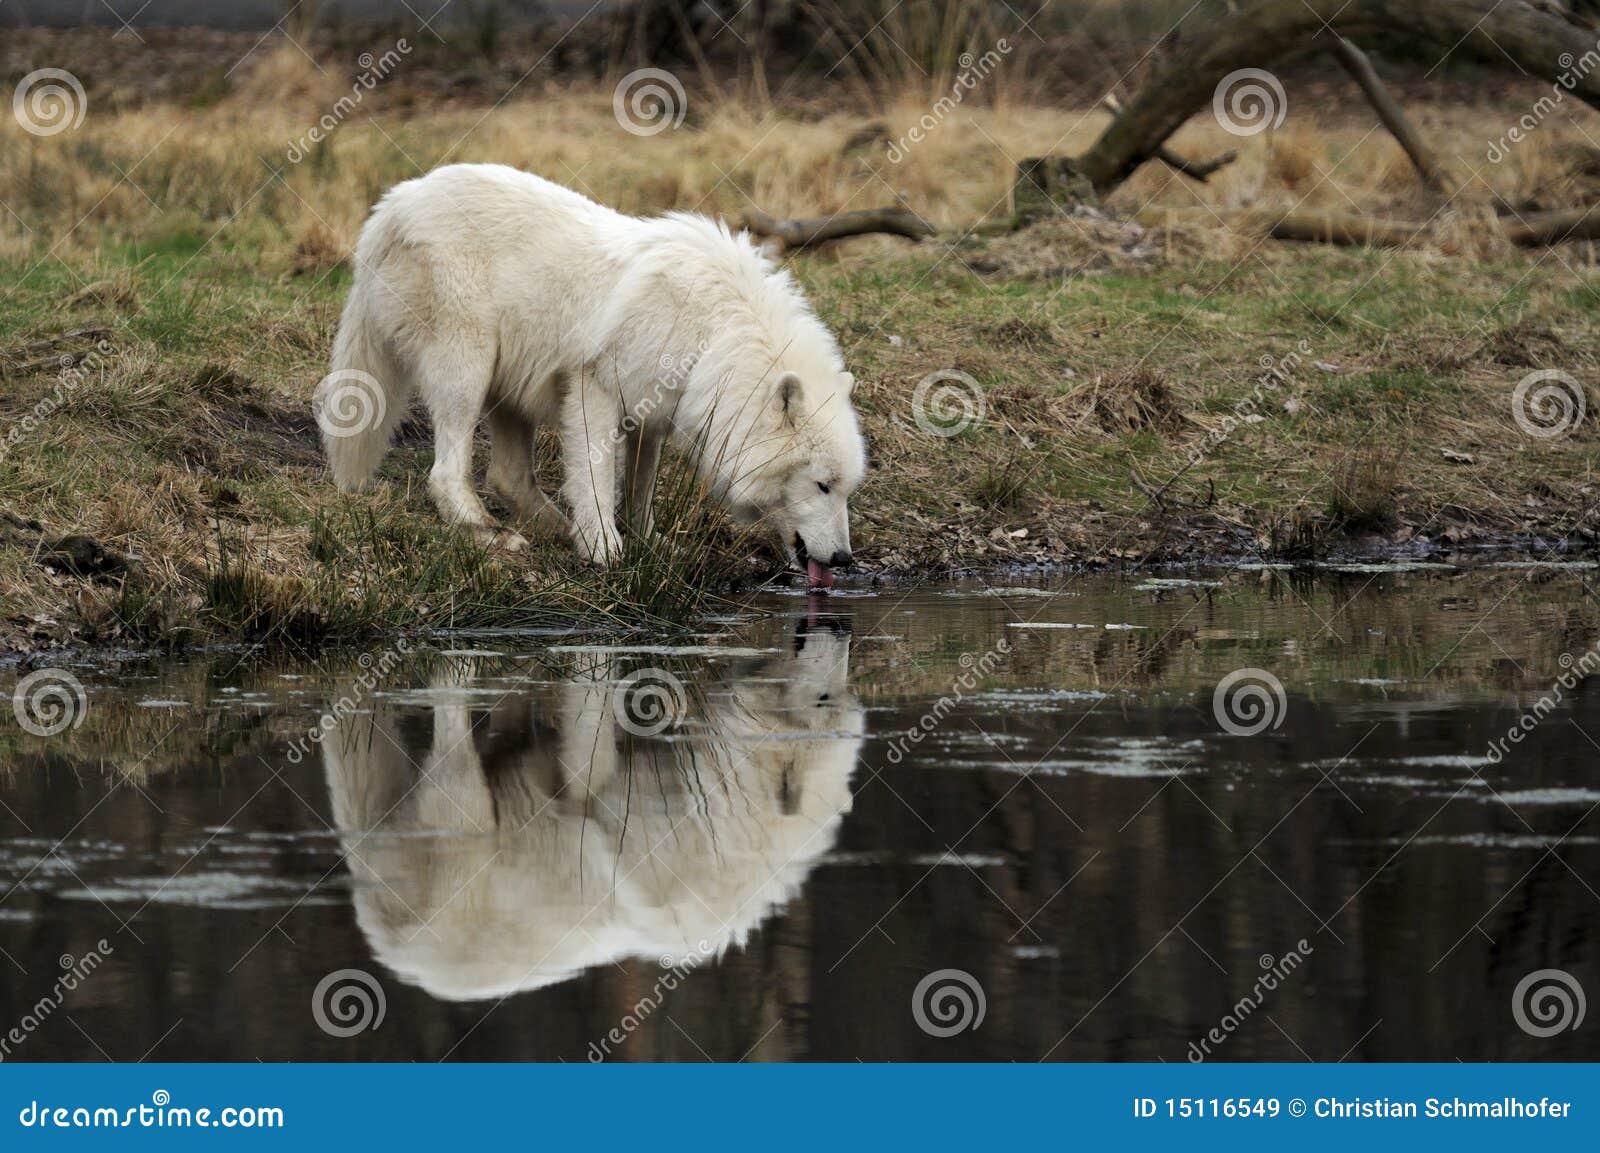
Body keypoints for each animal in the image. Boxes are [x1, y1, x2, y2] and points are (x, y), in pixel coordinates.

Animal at [315, 163, 865, 587]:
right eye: (821, 485)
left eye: (845, 489)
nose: (843, 558)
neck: (714, 329)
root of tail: (393, 202)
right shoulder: (594, 386)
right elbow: (597, 477)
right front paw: (603, 548)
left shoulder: (654, 411)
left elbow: (641, 489)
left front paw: (647, 543)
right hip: (467, 366)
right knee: (447, 472)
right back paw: (491, 532)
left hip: (508, 383)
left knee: (507, 477)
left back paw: (557, 528)